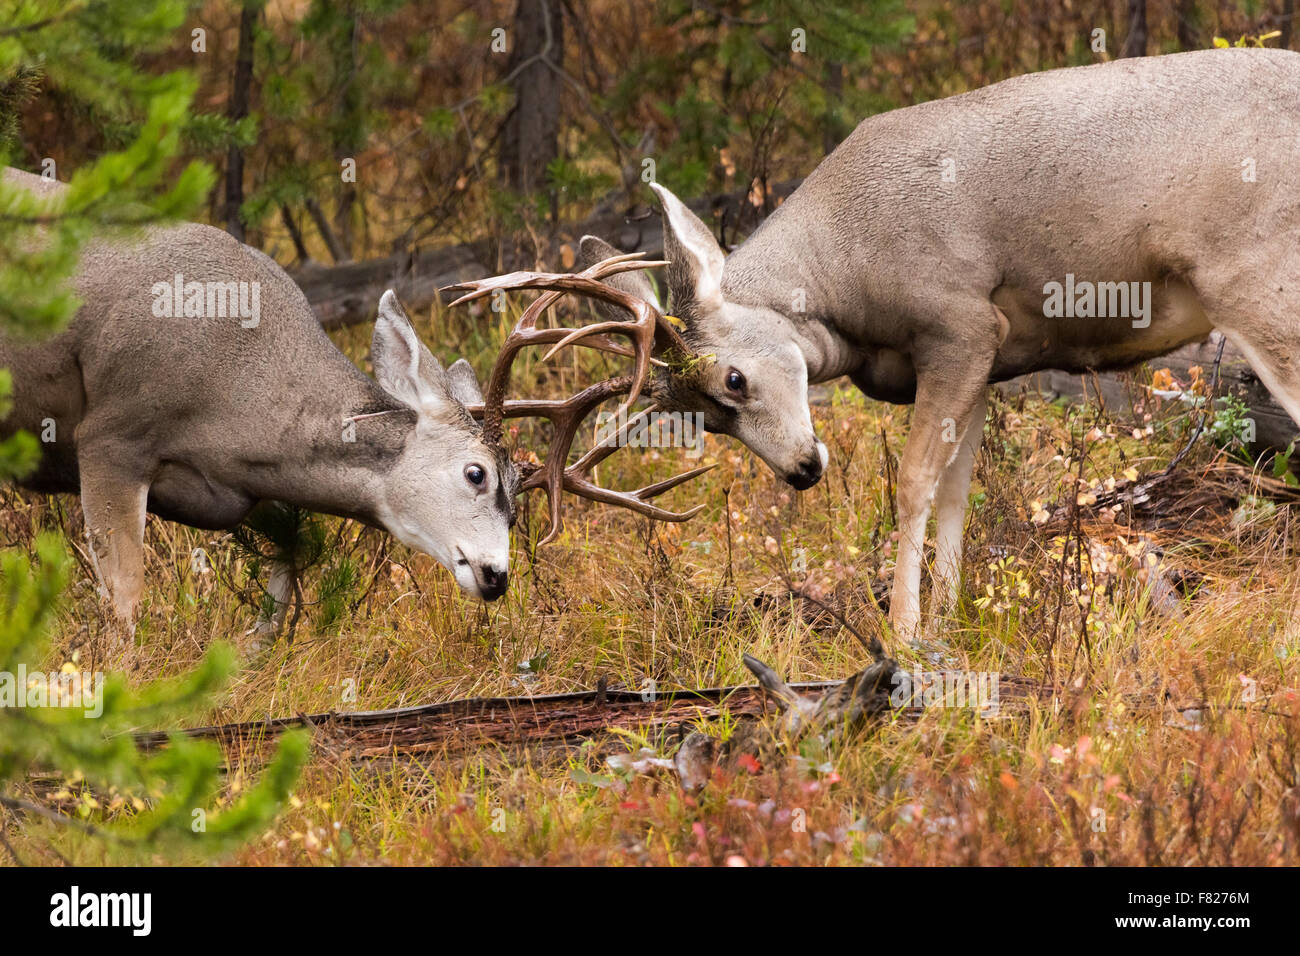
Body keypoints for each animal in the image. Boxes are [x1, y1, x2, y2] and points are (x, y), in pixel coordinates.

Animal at [0, 166, 706, 640]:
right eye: (475, 473)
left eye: (519, 503)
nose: (497, 577)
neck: (235, 400)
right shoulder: (113, 436)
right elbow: (124, 598)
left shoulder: (235, 492)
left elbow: (288, 569)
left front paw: (254, 651)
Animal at [577, 47, 1300, 641]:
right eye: (706, 422)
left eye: (733, 379)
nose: (803, 470)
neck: (843, 281)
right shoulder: (987, 358)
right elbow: (958, 487)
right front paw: (951, 617)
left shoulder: (959, 324)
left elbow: (914, 483)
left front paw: (904, 631)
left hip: (1257, 283)